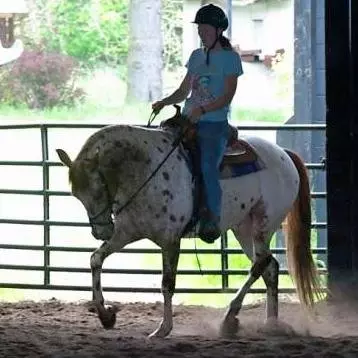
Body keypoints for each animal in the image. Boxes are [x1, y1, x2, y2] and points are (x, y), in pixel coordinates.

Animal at [56, 119, 324, 338]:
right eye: (76, 195)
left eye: (98, 189)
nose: (101, 232)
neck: (144, 168)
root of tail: (284, 154)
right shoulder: (126, 233)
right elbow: (96, 259)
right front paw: (106, 315)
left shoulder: (170, 240)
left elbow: (167, 283)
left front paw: (163, 329)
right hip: (244, 229)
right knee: (269, 267)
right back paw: (270, 323)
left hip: (263, 224)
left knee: (260, 265)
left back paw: (230, 318)